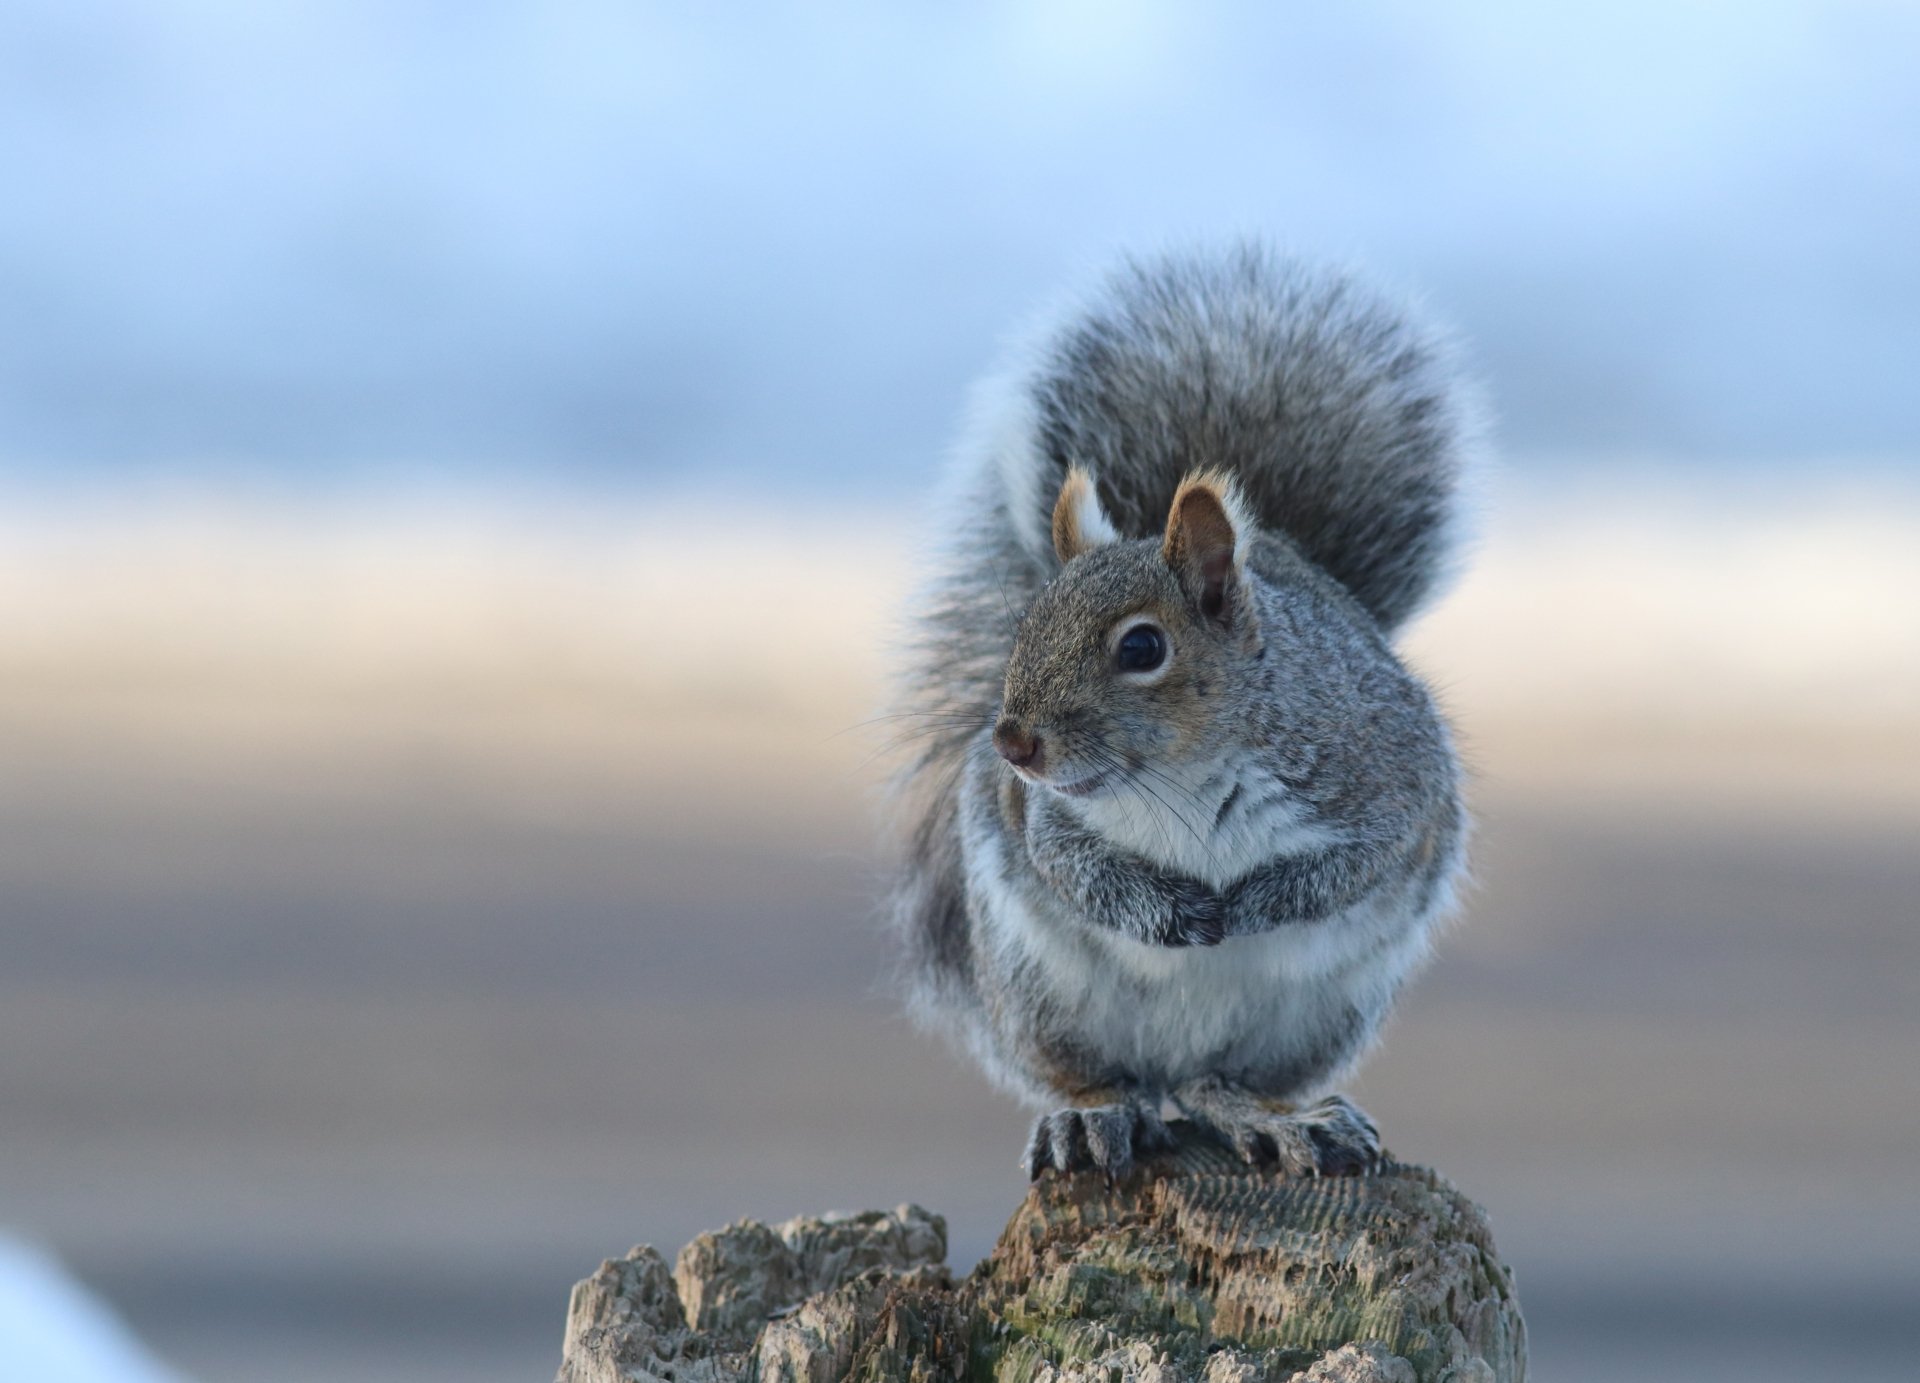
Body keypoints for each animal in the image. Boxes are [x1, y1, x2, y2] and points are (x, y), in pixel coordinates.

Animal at [886, 242, 1483, 1181]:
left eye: (1141, 648)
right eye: (1028, 620)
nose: (1012, 743)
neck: (1182, 773)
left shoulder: (1388, 776)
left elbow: (1361, 860)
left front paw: (1255, 903)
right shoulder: (1046, 816)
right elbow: (1071, 865)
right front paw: (1169, 911)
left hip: (1313, 1017)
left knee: (1213, 1085)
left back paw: (1281, 1117)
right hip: (1038, 990)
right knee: (1108, 1078)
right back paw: (1091, 1115)